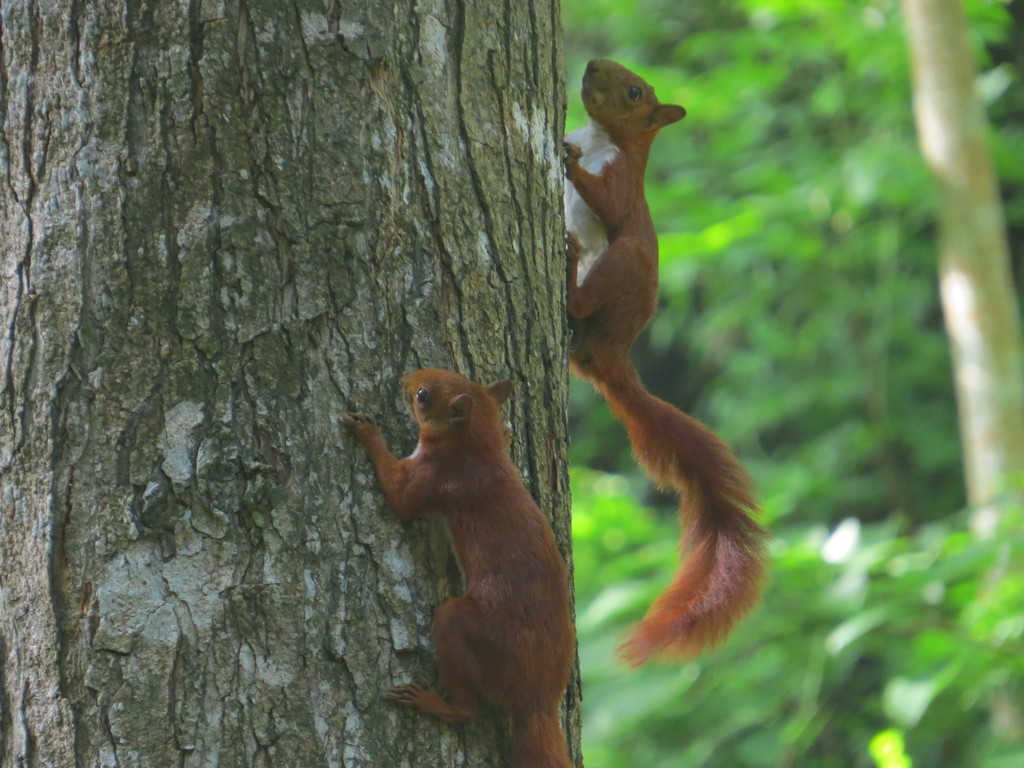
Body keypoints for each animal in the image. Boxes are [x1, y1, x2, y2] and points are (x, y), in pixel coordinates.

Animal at [345, 369, 574, 768]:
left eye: (423, 394)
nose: (407, 379)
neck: (478, 447)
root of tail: (538, 696)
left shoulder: (436, 477)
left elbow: (400, 497)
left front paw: (367, 432)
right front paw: (508, 432)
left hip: (467, 630)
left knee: (468, 709)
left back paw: (432, 702)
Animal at [563, 59, 768, 665]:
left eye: (634, 91)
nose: (590, 63)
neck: (604, 137)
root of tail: (611, 358)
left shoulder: (622, 181)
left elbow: (607, 202)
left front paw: (567, 158)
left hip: (624, 262)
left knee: (591, 288)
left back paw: (570, 277)